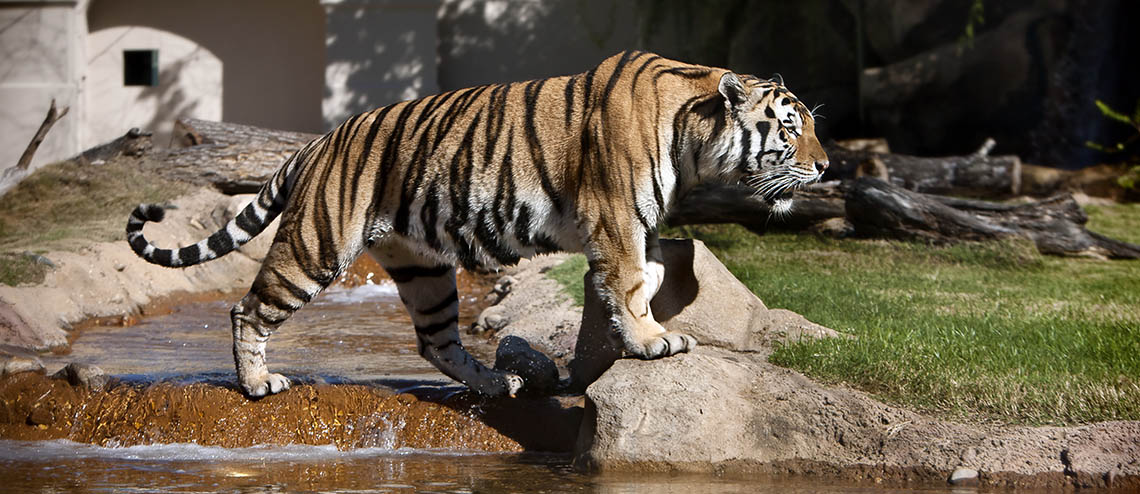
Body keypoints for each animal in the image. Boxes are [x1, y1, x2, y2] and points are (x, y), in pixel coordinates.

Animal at [126, 51, 828, 398]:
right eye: (792, 127)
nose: (826, 167)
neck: (693, 134)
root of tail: (321, 140)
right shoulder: (615, 216)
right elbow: (629, 280)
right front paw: (653, 339)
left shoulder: (639, 222)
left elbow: (644, 273)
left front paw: (628, 324)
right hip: (316, 245)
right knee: (248, 310)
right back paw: (256, 384)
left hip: (423, 268)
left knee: (436, 342)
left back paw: (497, 381)